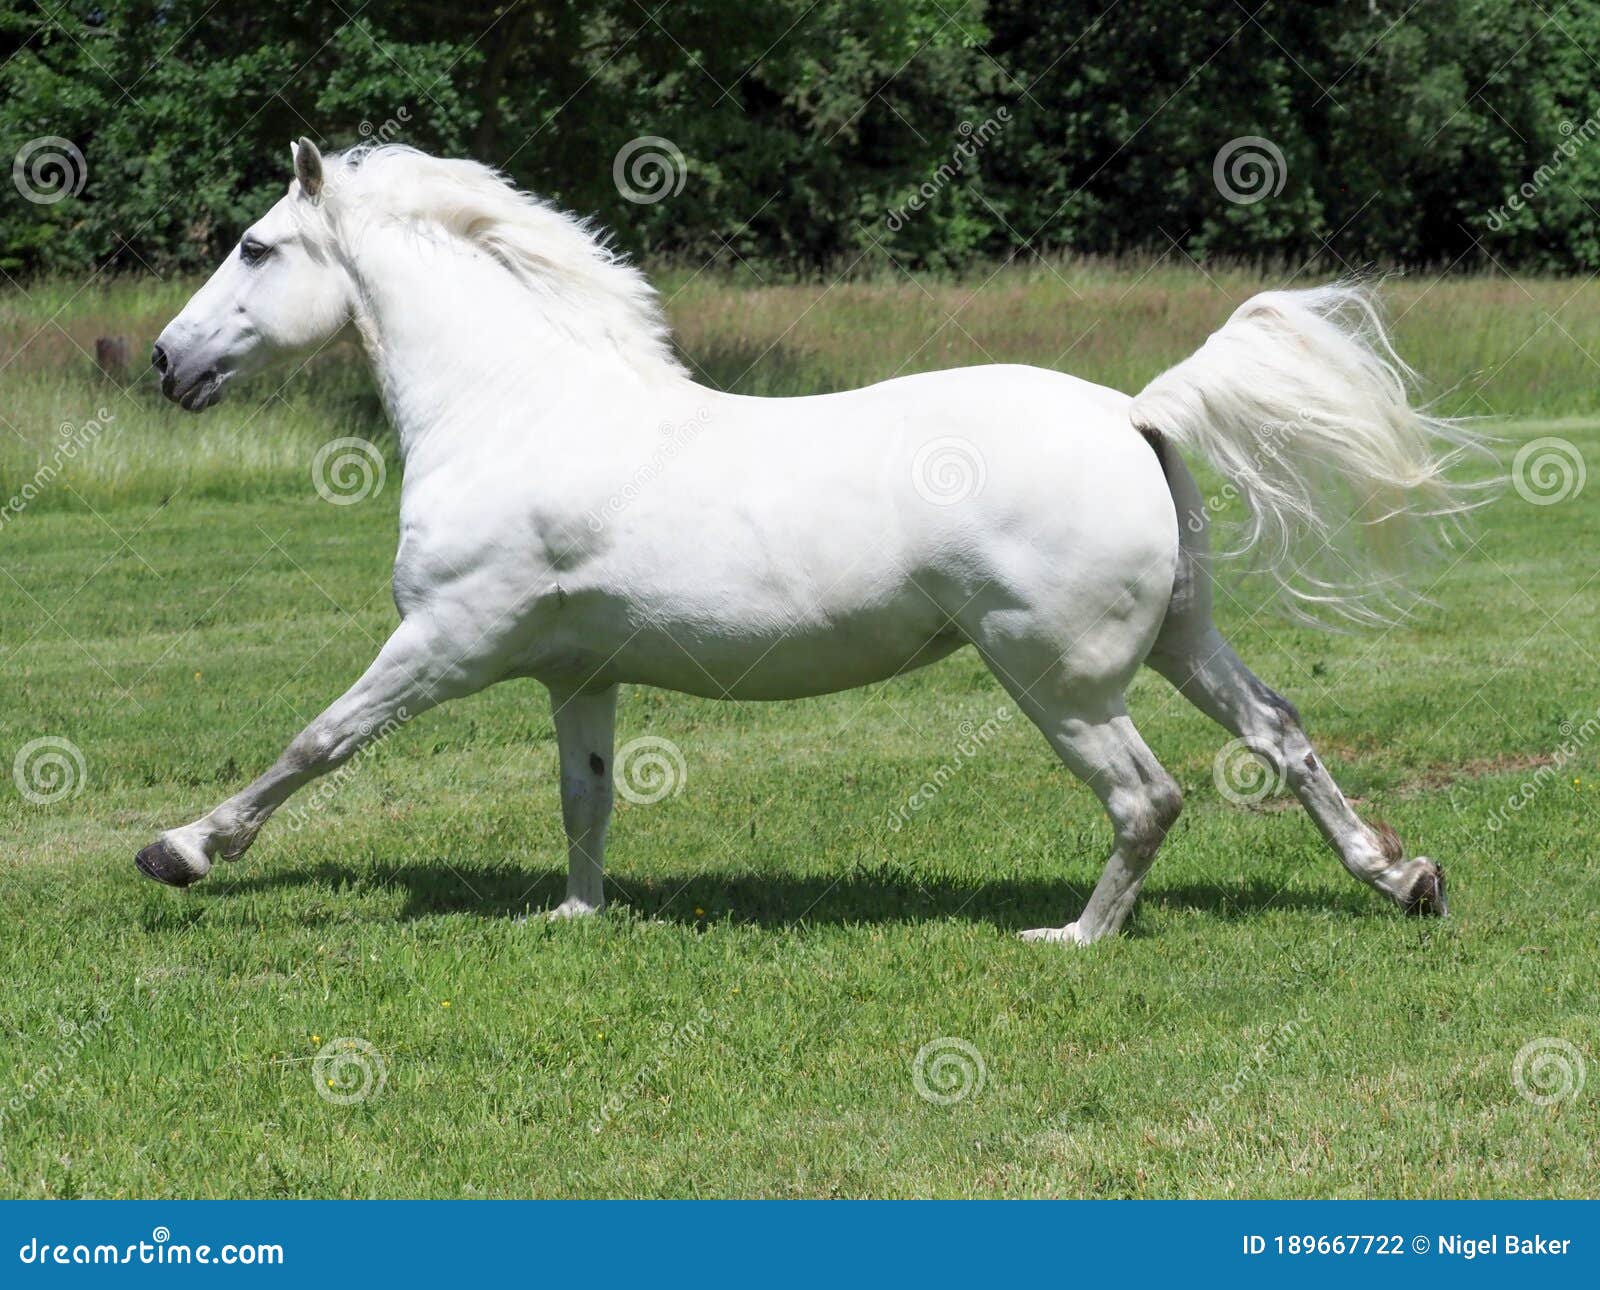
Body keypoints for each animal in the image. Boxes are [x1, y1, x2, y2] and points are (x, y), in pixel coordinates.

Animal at [137, 138, 1479, 944]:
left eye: (255, 246)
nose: (165, 362)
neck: (519, 408)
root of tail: (1128, 409)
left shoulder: (446, 641)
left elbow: (315, 742)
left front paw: (181, 852)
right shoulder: (577, 673)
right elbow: (585, 799)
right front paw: (576, 917)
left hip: (1058, 676)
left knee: (1146, 797)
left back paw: (1074, 936)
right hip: (1177, 642)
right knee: (1278, 733)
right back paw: (1400, 877)